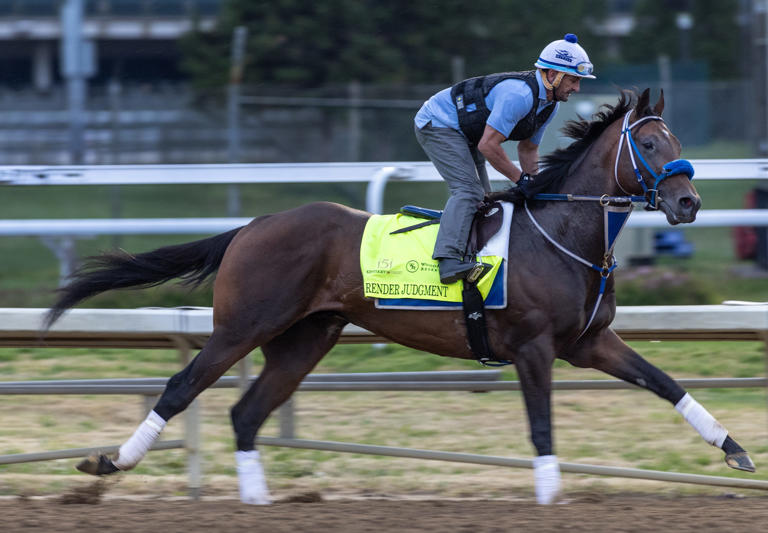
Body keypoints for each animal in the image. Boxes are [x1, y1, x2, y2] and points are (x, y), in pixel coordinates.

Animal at [44, 88, 755, 505]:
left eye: (678, 142)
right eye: (650, 142)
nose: (688, 203)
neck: (561, 232)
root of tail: (252, 225)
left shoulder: (589, 343)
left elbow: (665, 383)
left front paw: (735, 449)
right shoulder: (533, 348)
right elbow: (542, 426)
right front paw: (551, 497)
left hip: (306, 338)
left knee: (246, 414)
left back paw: (257, 502)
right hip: (241, 326)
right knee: (180, 388)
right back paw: (109, 463)